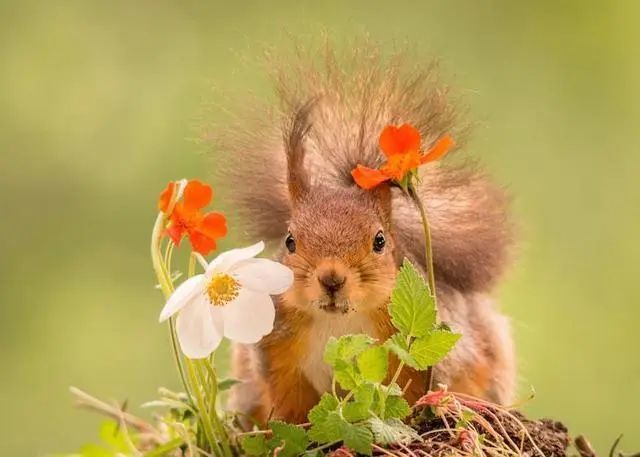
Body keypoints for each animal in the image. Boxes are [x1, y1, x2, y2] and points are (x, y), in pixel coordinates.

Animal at [210, 43, 516, 424]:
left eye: (380, 241)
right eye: (290, 241)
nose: (331, 279)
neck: (340, 322)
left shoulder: (419, 359)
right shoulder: (279, 359)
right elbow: (291, 414)